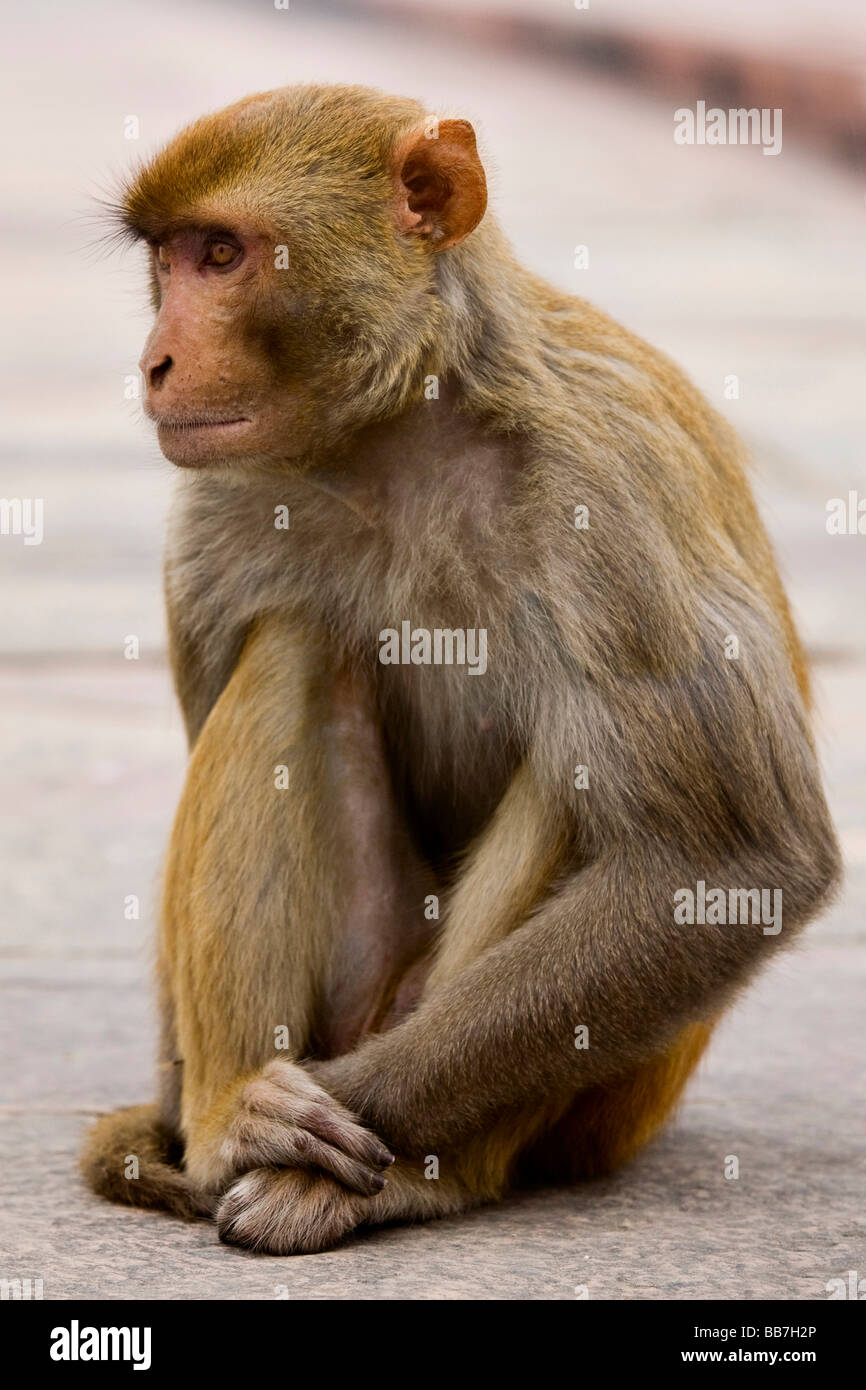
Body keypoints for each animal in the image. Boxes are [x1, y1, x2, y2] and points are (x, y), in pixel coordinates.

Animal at [81, 84, 841, 1255]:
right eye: (169, 258)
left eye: (221, 253)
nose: (154, 362)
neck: (405, 421)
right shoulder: (218, 500)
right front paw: (212, 1122)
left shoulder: (612, 482)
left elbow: (726, 860)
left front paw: (339, 1120)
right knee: (295, 645)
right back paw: (221, 1118)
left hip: (594, 1105)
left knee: (586, 771)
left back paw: (411, 1175)